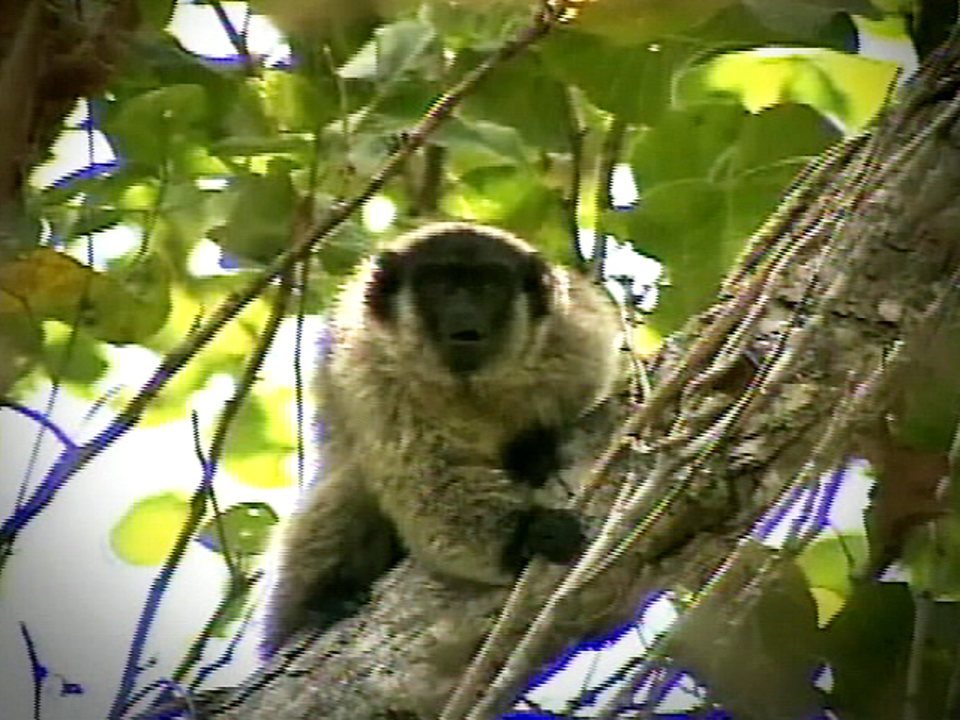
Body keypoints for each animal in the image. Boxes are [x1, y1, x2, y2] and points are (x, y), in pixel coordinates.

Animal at [263, 221, 621, 656]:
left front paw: (533, 447)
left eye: (488, 286)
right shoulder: (374, 369)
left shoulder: (575, 338)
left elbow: (597, 392)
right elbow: (428, 480)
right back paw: (324, 599)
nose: (464, 315)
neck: (470, 385)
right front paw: (530, 533)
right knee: (351, 485)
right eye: (438, 286)